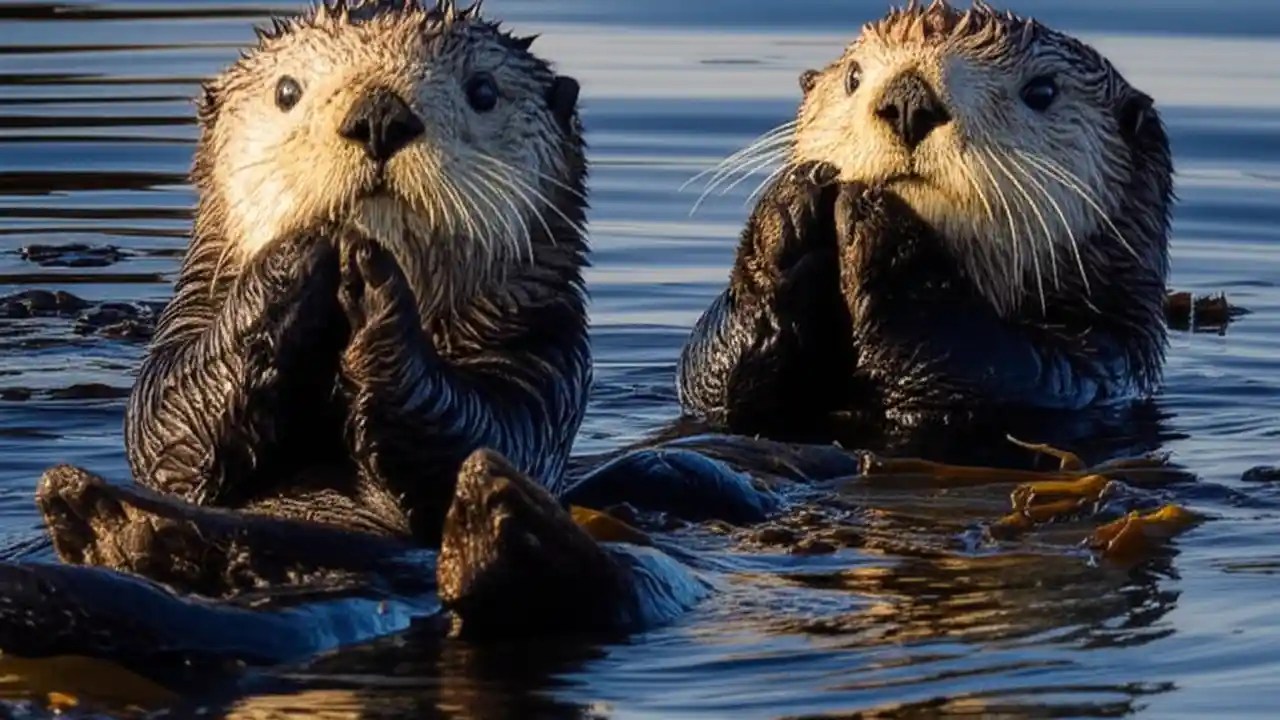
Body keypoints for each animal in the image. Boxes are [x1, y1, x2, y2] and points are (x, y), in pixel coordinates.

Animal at [678, 0, 1173, 440]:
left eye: (1042, 92)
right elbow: (706, 373)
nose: (907, 100)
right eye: (853, 76)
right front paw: (786, 212)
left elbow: (965, 353)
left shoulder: (1092, 367)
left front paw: (879, 225)